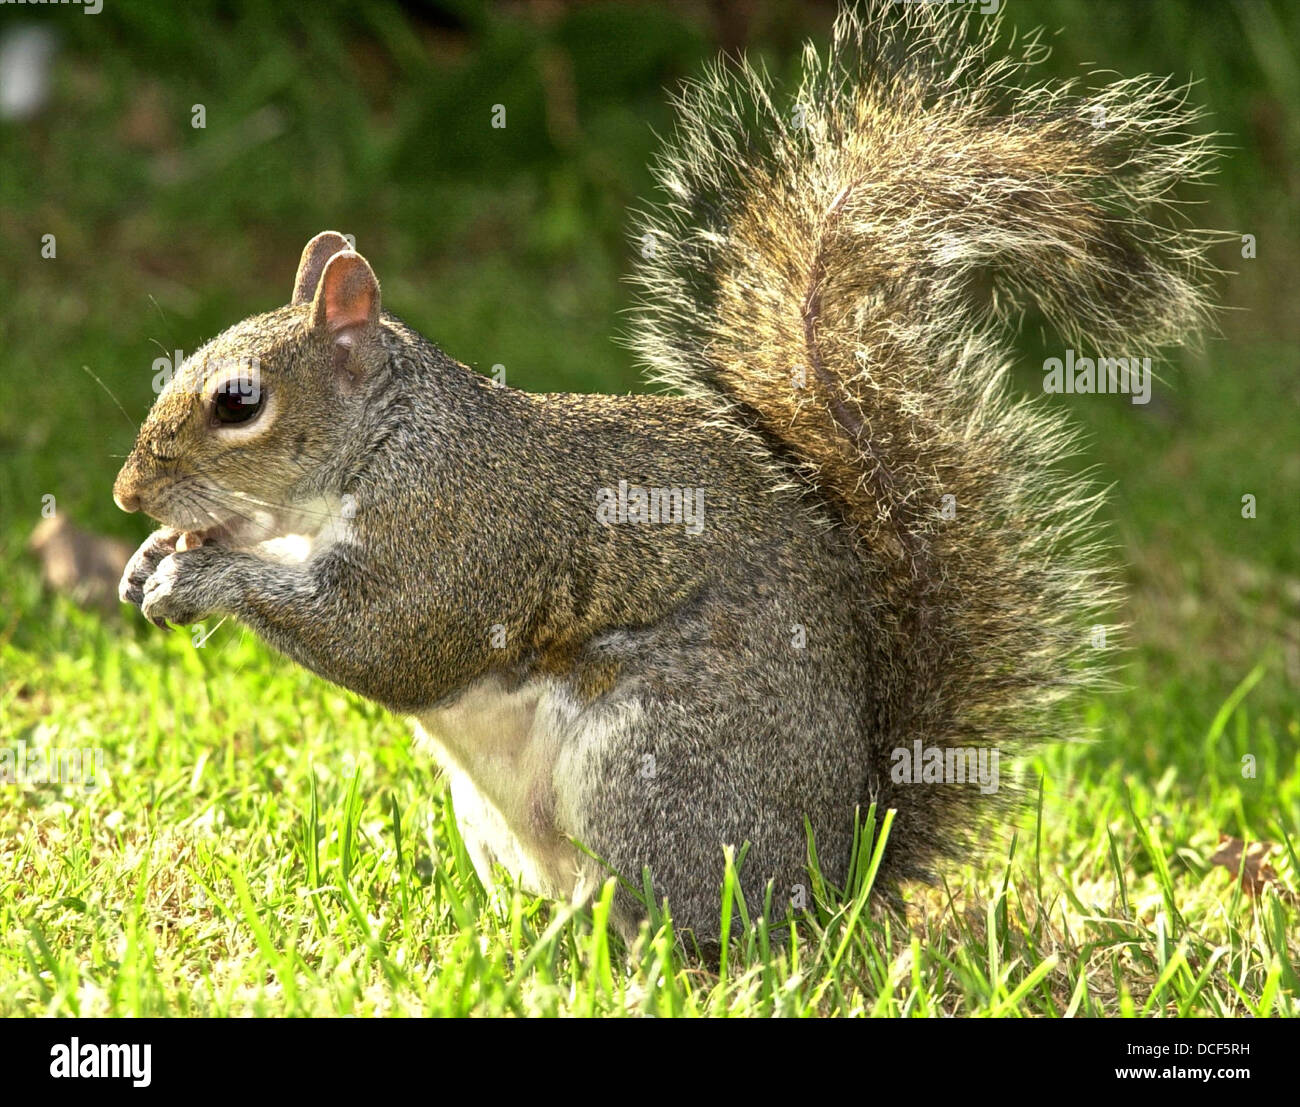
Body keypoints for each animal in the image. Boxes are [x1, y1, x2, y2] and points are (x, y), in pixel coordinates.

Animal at [112, 2, 1219, 951]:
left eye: (239, 401)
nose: (128, 494)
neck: (387, 439)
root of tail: (834, 883)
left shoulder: (458, 535)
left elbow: (388, 641)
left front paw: (205, 576)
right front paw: (152, 558)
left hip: (652, 770)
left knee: (678, 913)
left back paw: (589, 940)